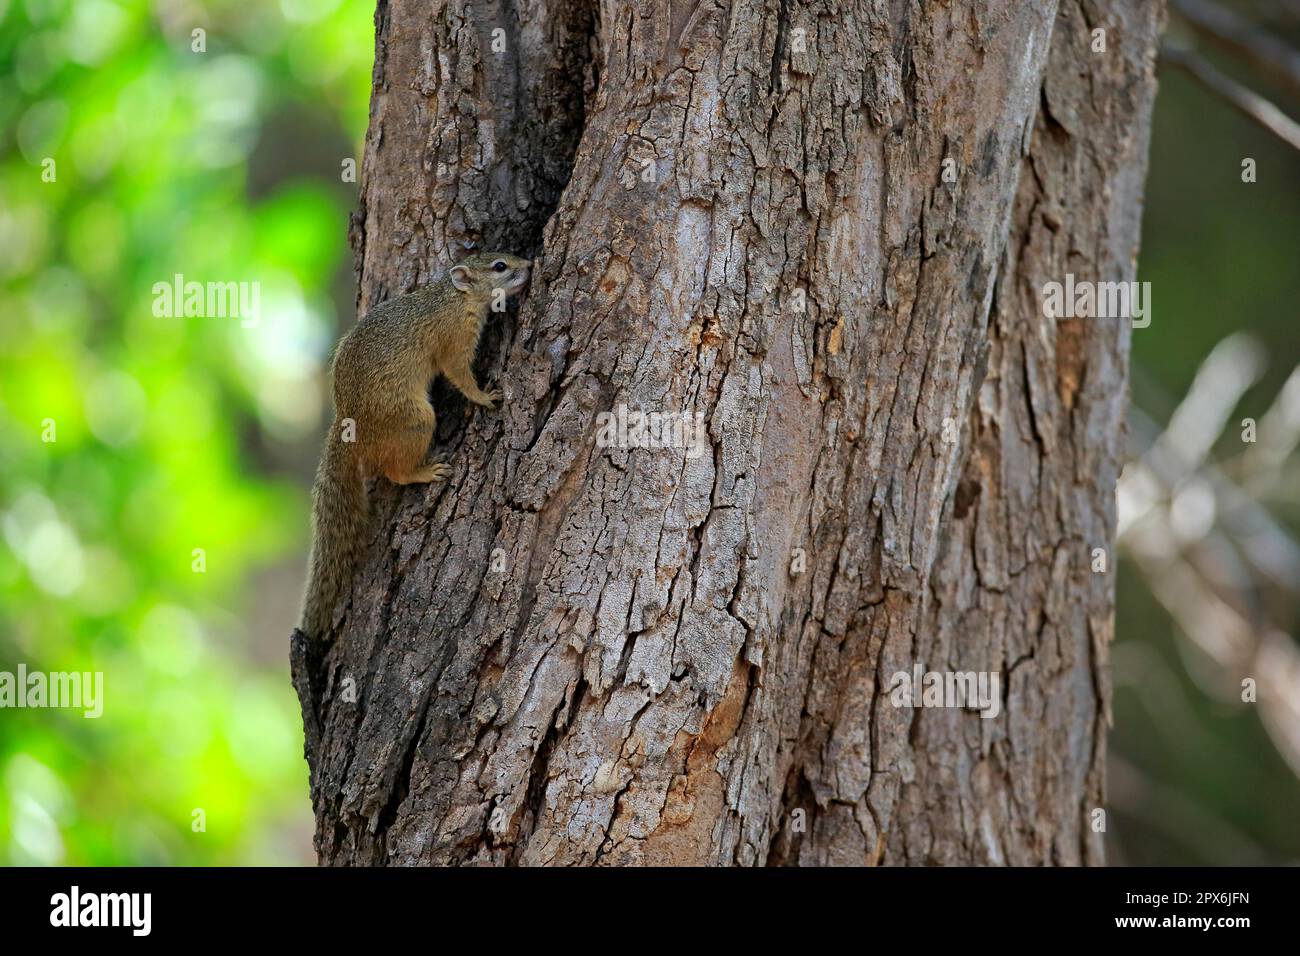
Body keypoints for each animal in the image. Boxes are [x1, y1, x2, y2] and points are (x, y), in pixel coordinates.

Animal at [298, 251, 532, 639]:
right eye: (499, 266)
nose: (529, 266)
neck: (453, 298)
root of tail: (350, 429)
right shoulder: (454, 339)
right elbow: (459, 375)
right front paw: (484, 397)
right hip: (415, 419)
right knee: (394, 471)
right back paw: (423, 471)